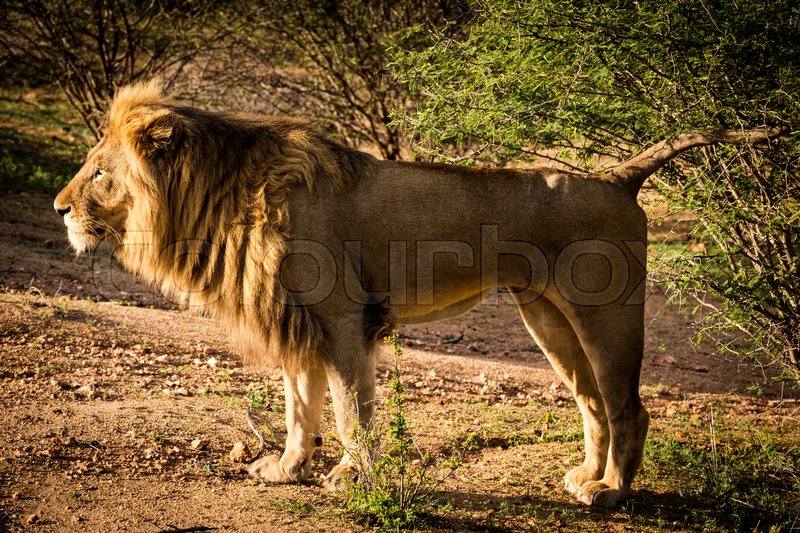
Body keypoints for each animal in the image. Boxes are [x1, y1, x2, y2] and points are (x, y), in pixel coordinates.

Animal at [53, 79, 783, 506]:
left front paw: (351, 478)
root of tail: (619, 176)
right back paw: (587, 477)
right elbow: (298, 407)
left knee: (631, 407)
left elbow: (349, 410)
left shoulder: (343, 319)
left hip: (607, 315)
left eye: (99, 173)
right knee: (594, 403)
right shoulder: (296, 319)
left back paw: (610, 493)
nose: (59, 208)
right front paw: (286, 470)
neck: (222, 197)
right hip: (547, 317)